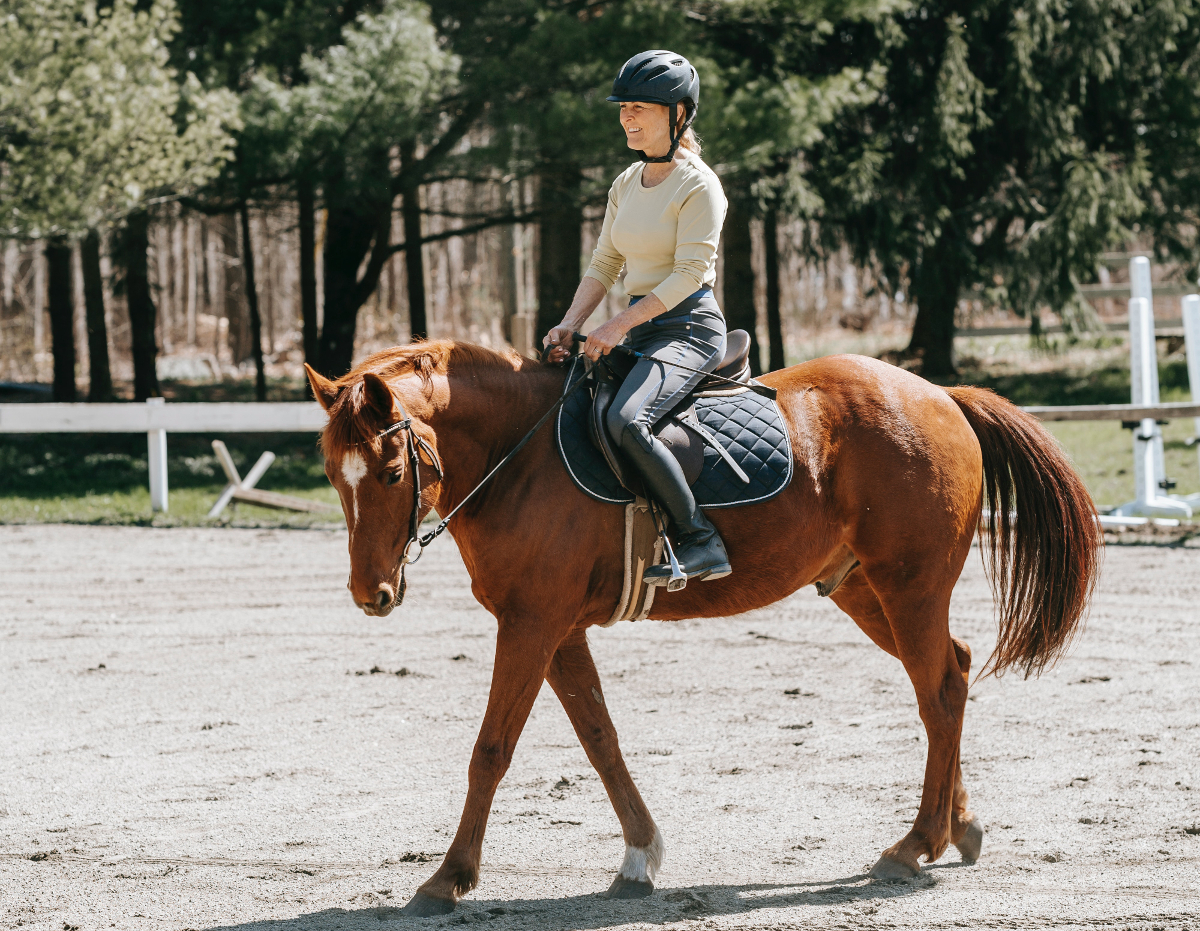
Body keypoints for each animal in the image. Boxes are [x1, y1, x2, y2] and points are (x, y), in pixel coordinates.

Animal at [304, 340, 1101, 917]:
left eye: (391, 471)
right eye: (334, 476)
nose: (370, 594)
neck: (518, 459)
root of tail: (939, 396)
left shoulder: (530, 625)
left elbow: (491, 750)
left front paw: (449, 878)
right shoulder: (555, 629)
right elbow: (600, 737)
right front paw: (639, 855)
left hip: (909, 586)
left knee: (937, 691)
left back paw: (916, 843)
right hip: (865, 590)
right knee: (952, 674)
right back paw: (959, 827)